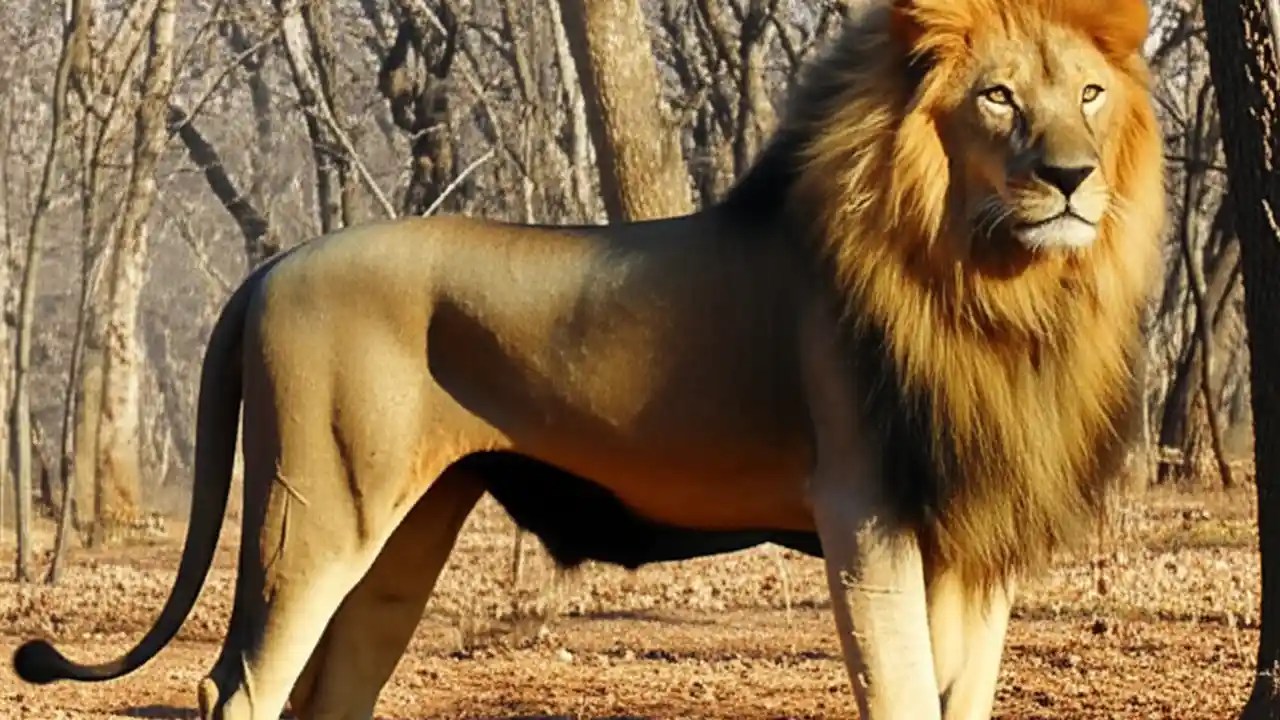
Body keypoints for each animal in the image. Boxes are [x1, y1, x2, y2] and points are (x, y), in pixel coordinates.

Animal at [13, 1, 1164, 718]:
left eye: (1089, 95)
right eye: (997, 97)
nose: (1069, 176)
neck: (1000, 286)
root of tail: (269, 265)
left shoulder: (977, 538)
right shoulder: (864, 516)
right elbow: (901, 696)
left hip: (407, 528)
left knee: (330, 690)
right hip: (313, 508)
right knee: (237, 687)